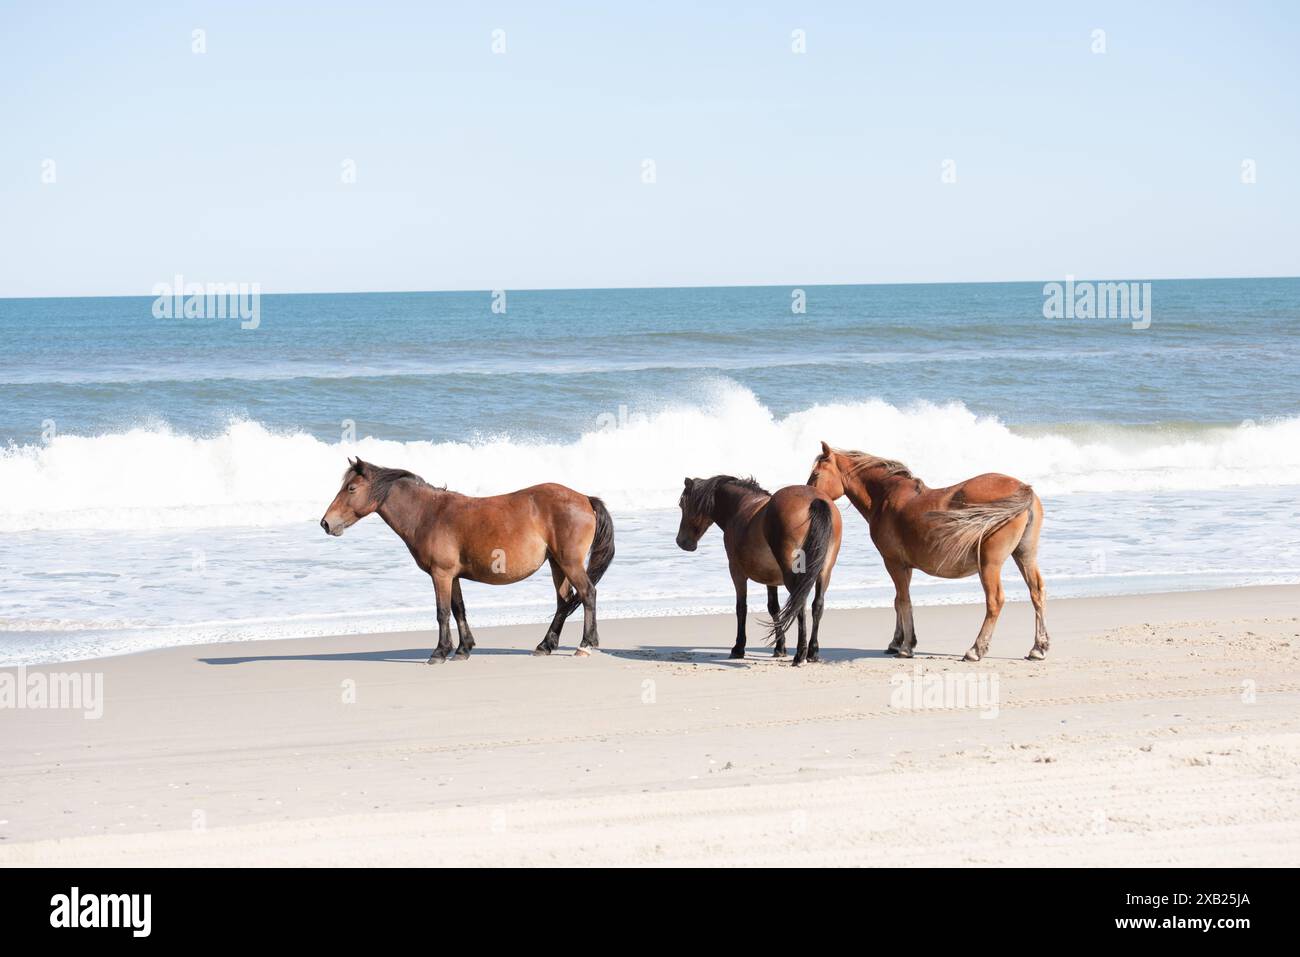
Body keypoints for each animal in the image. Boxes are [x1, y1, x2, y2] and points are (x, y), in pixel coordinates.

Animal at [320, 458, 614, 662]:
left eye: (351, 488)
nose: (326, 523)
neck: (429, 514)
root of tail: (584, 499)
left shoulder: (441, 574)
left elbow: (442, 612)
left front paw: (439, 652)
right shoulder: (452, 575)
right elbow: (459, 609)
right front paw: (463, 649)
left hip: (569, 563)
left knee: (587, 593)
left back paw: (585, 645)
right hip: (557, 564)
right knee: (564, 601)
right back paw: (545, 645)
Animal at [675, 475, 842, 666]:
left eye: (682, 504)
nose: (681, 542)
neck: (740, 507)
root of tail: (815, 500)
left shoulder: (736, 572)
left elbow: (741, 608)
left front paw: (738, 647)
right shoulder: (771, 578)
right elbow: (774, 608)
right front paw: (780, 647)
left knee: (800, 604)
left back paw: (800, 654)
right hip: (824, 572)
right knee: (817, 605)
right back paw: (813, 652)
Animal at [807, 442, 1048, 662]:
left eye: (816, 474)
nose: (809, 496)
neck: (885, 497)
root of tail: (1023, 488)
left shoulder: (893, 562)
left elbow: (904, 600)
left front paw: (906, 647)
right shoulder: (905, 566)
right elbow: (898, 600)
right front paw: (896, 642)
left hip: (989, 564)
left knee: (995, 601)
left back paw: (975, 650)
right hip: (1024, 555)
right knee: (1036, 592)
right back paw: (1038, 648)